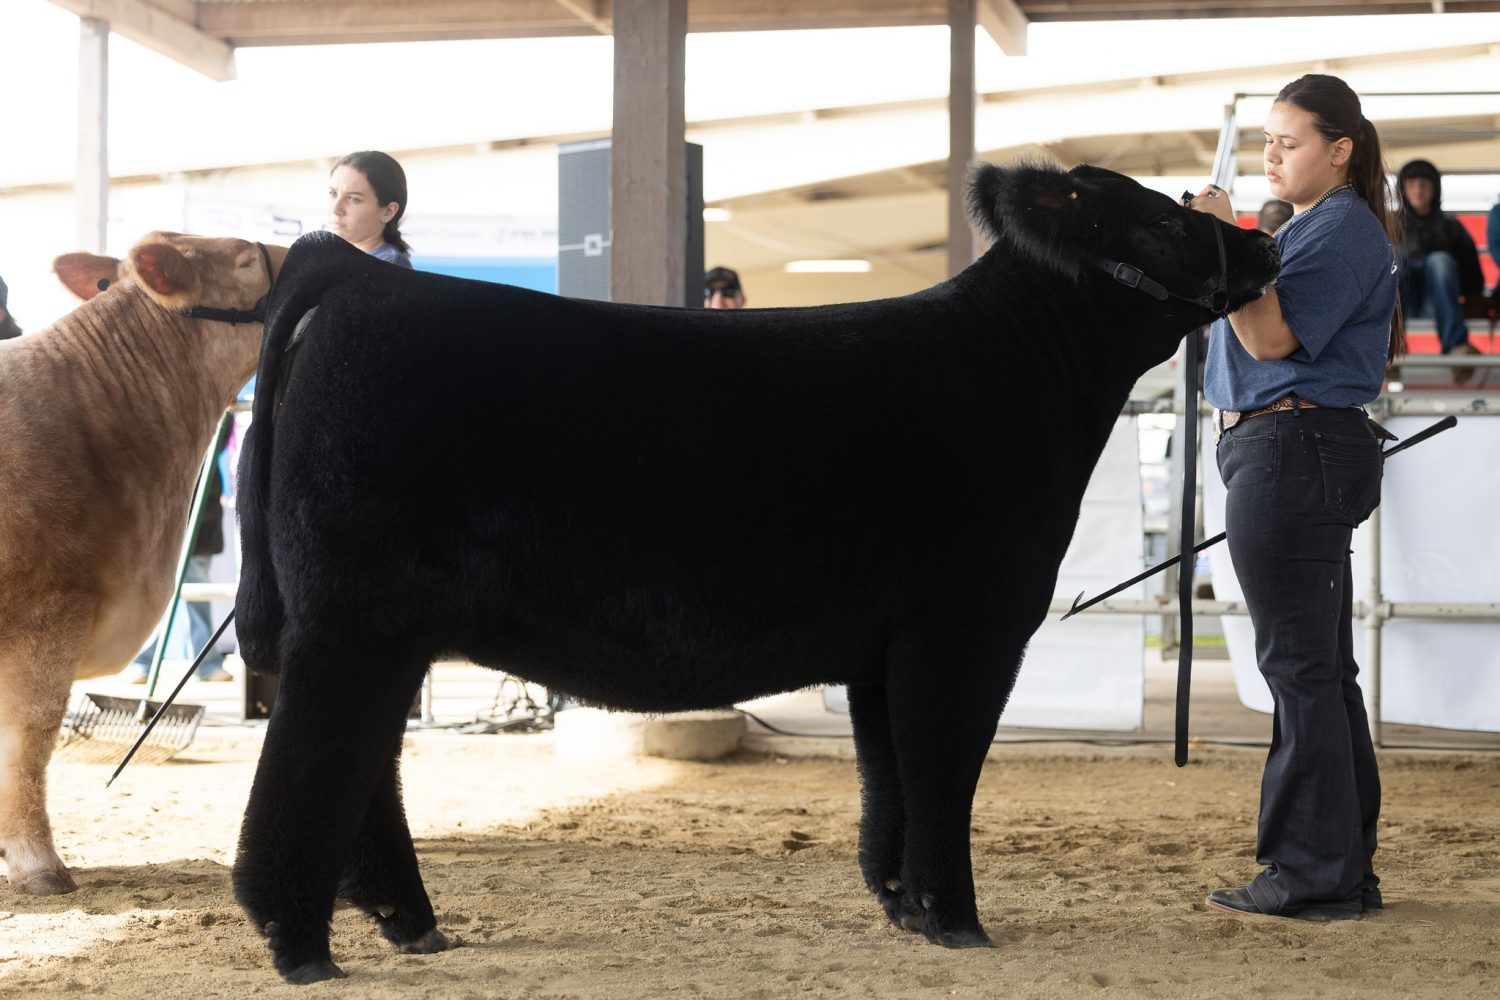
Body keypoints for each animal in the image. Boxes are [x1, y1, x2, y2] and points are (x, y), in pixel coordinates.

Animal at [231, 162, 1280, 983]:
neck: (1024, 373)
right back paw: (301, 945)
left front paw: (903, 906)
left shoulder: (881, 650)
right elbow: (943, 771)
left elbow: (889, 780)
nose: (1265, 246)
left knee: (364, 769)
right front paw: (958, 921)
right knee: (315, 766)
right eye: (1161, 219)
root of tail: (356, 277)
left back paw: (409, 923)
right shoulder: (965, 629)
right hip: (355, 621)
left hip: (381, 630)